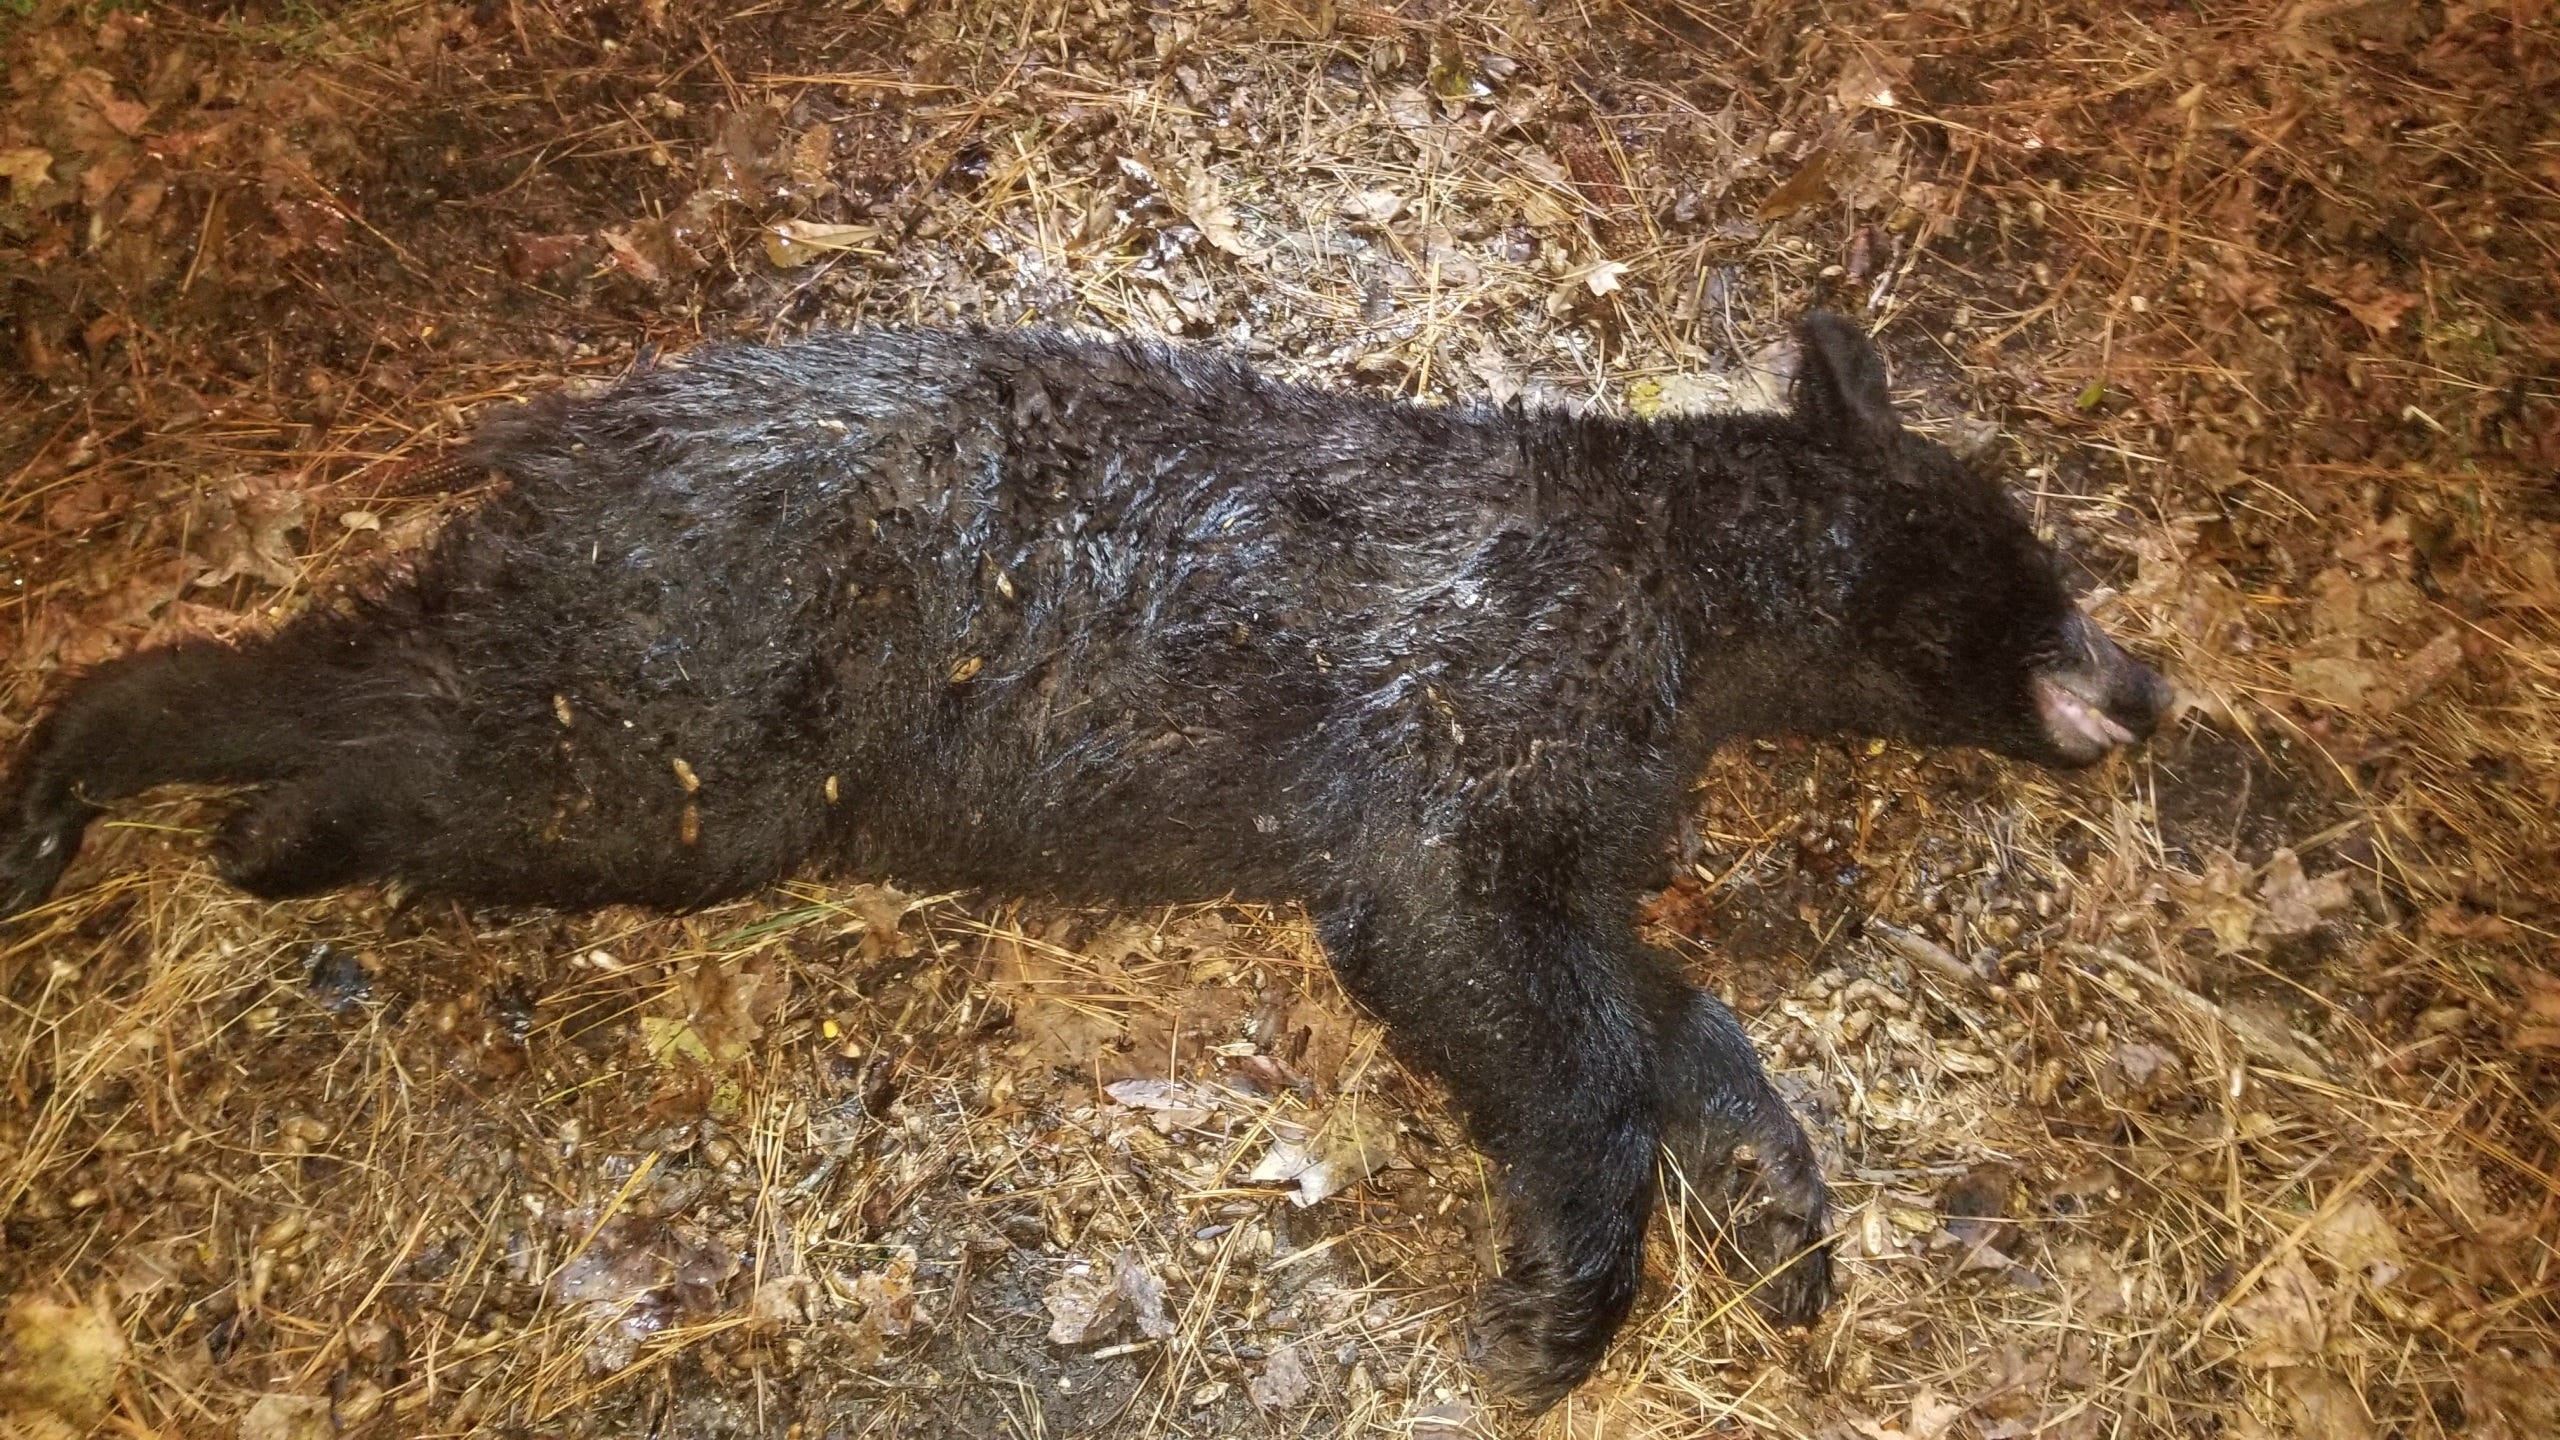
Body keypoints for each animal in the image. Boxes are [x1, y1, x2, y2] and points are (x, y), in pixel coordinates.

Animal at [0, 312, 2169, 1406]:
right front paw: (1562, 1303)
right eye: (2035, 561)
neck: (1688, 604)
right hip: (685, 721)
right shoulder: (1457, 763)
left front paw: (1779, 1209)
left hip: (644, 689)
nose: (2147, 683)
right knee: (411, 726)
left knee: (378, 677)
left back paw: (156, 801)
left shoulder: (1562, 823)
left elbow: (1656, 1005)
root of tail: (572, 432)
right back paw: (184, 797)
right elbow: (1546, 1034)